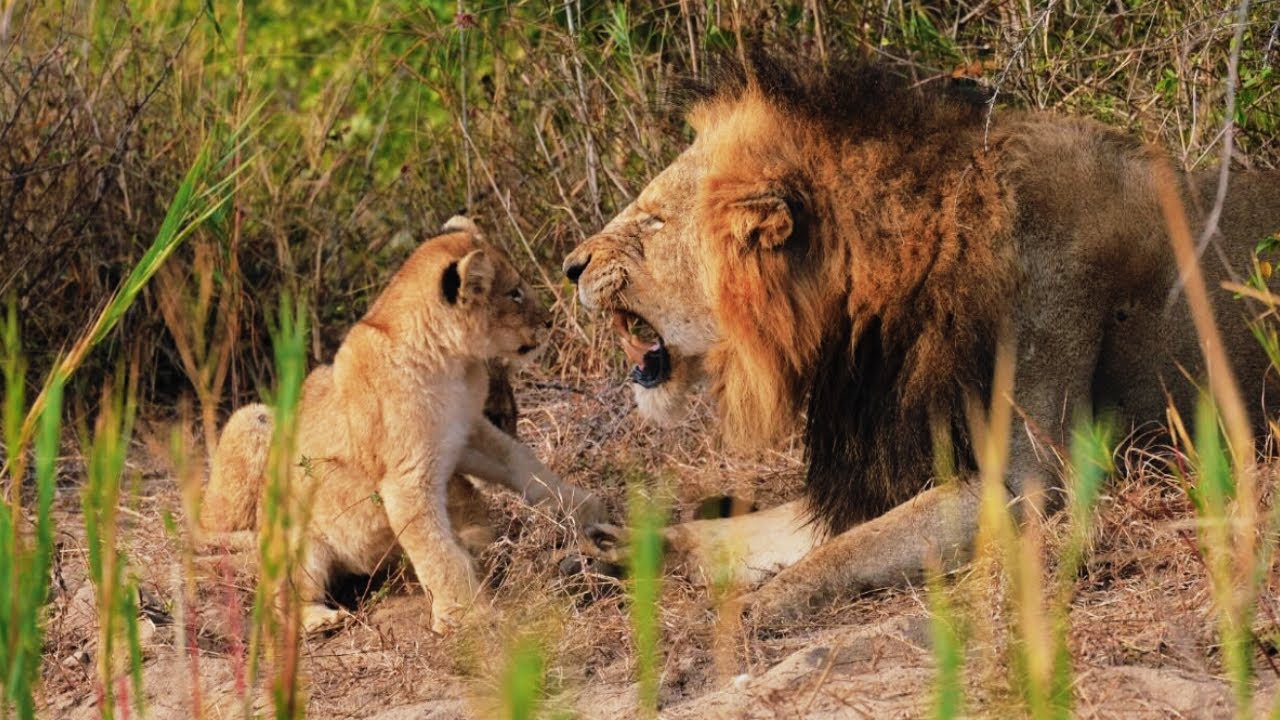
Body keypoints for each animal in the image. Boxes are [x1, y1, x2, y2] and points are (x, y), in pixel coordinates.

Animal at [202, 218, 605, 634]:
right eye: (514, 293)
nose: (550, 321)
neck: (453, 368)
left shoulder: (465, 432)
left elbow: (521, 462)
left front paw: (586, 506)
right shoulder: (406, 480)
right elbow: (437, 550)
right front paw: (467, 613)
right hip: (289, 520)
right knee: (280, 599)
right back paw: (320, 620)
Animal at [564, 51, 1280, 624]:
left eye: (654, 221)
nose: (571, 266)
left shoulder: (1031, 480)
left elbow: (848, 548)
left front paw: (750, 609)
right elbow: (774, 528)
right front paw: (632, 546)